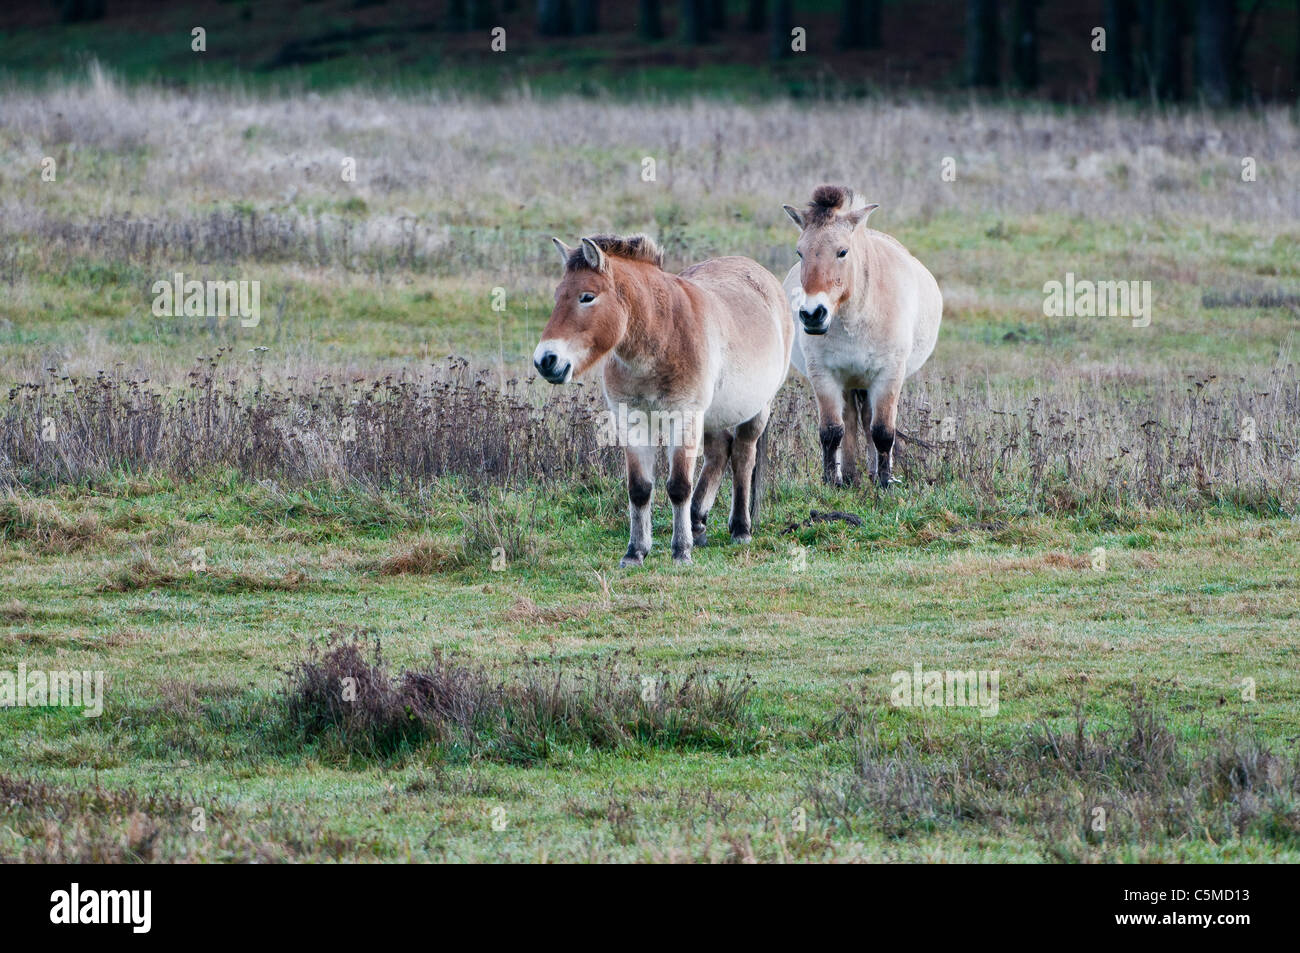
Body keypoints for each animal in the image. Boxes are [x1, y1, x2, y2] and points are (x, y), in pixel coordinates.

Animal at [534, 234, 793, 567]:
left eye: (587, 297)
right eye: (558, 295)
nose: (546, 361)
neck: (661, 335)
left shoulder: (682, 418)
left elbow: (679, 486)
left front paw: (681, 550)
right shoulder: (631, 420)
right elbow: (639, 488)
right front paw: (635, 551)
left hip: (756, 410)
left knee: (742, 457)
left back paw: (740, 528)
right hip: (711, 417)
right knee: (719, 454)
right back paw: (698, 524)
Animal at [781, 185, 942, 488]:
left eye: (842, 251)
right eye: (799, 253)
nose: (812, 314)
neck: (856, 317)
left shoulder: (888, 375)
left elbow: (882, 431)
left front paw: (885, 483)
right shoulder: (825, 375)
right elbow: (832, 431)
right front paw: (831, 482)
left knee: (868, 422)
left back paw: (872, 473)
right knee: (851, 423)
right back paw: (850, 476)